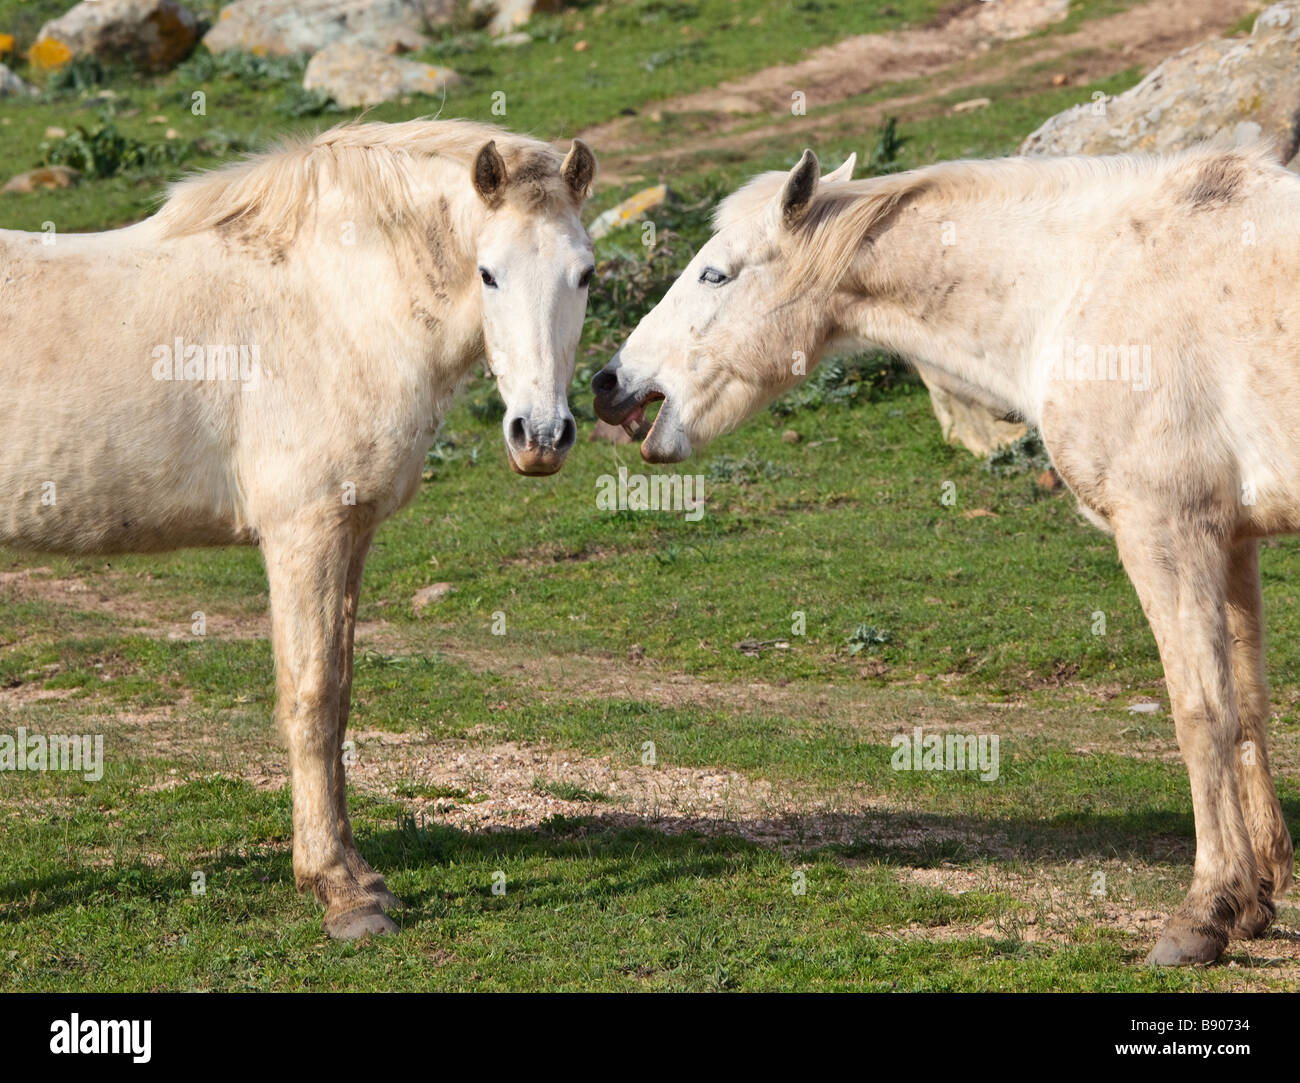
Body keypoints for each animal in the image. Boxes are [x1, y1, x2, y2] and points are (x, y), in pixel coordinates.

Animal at [1, 118, 597, 939]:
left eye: (586, 275)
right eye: (489, 274)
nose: (540, 435)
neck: (331, 305)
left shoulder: (350, 533)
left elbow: (339, 694)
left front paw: (353, 874)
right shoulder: (305, 532)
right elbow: (311, 699)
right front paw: (343, 893)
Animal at [593, 144, 1298, 966]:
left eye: (715, 274)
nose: (609, 382)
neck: (1090, 278)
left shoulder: (1168, 531)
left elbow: (1201, 711)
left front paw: (1203, 913)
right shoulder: (1230, 540)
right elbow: (1246, 707)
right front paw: (1253, 901)